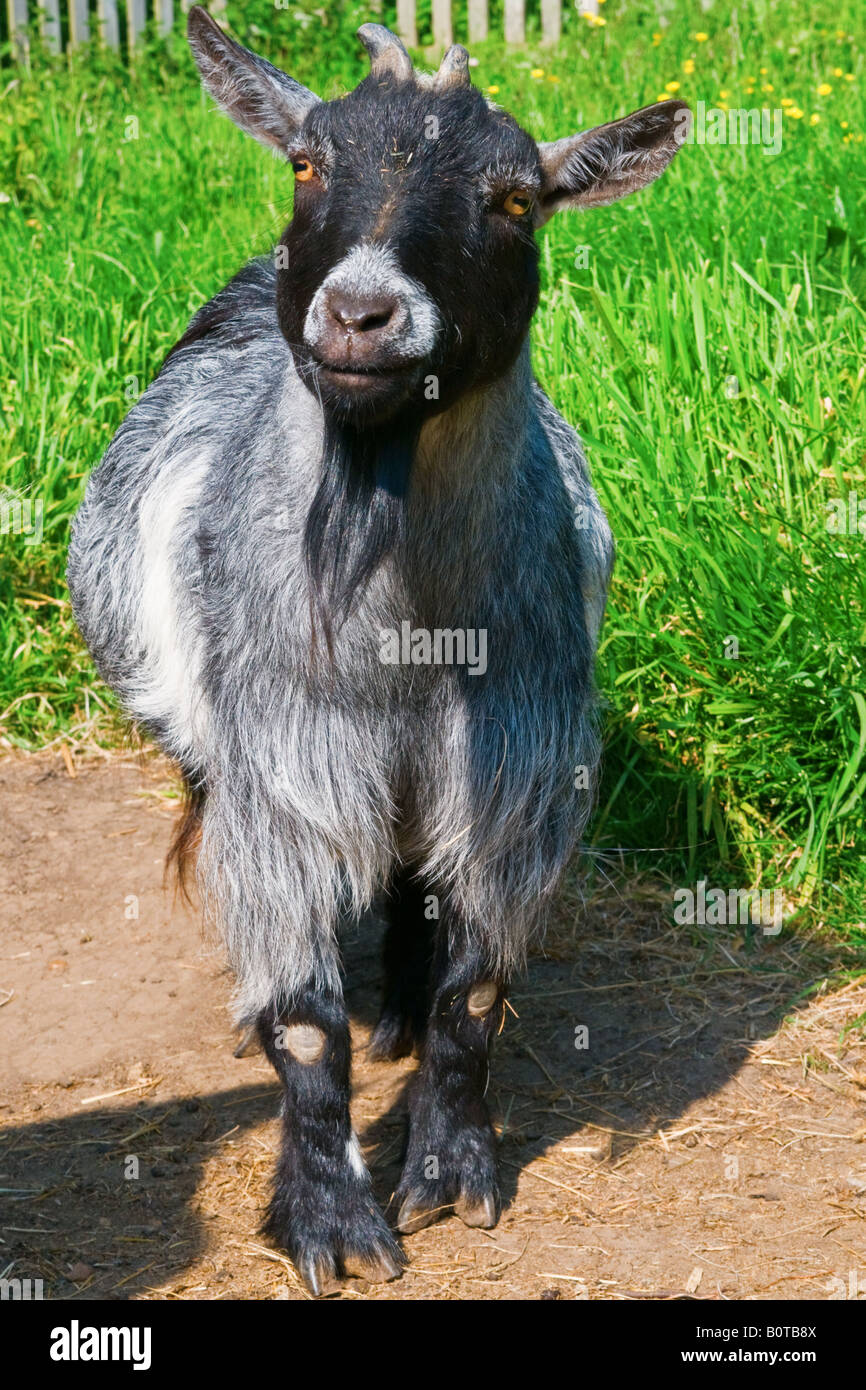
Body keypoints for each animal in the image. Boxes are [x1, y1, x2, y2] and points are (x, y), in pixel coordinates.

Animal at [67, 9, 688, 1295]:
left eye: (515, 196)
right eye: (307, 162)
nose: (357, 312)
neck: (406, 632)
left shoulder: (517, 775)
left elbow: (478, 989)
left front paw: (452, 1170)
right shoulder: (281, 779)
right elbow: (307, 1021)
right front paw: (328, 1221)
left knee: (410, 876)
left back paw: (398, 1002)